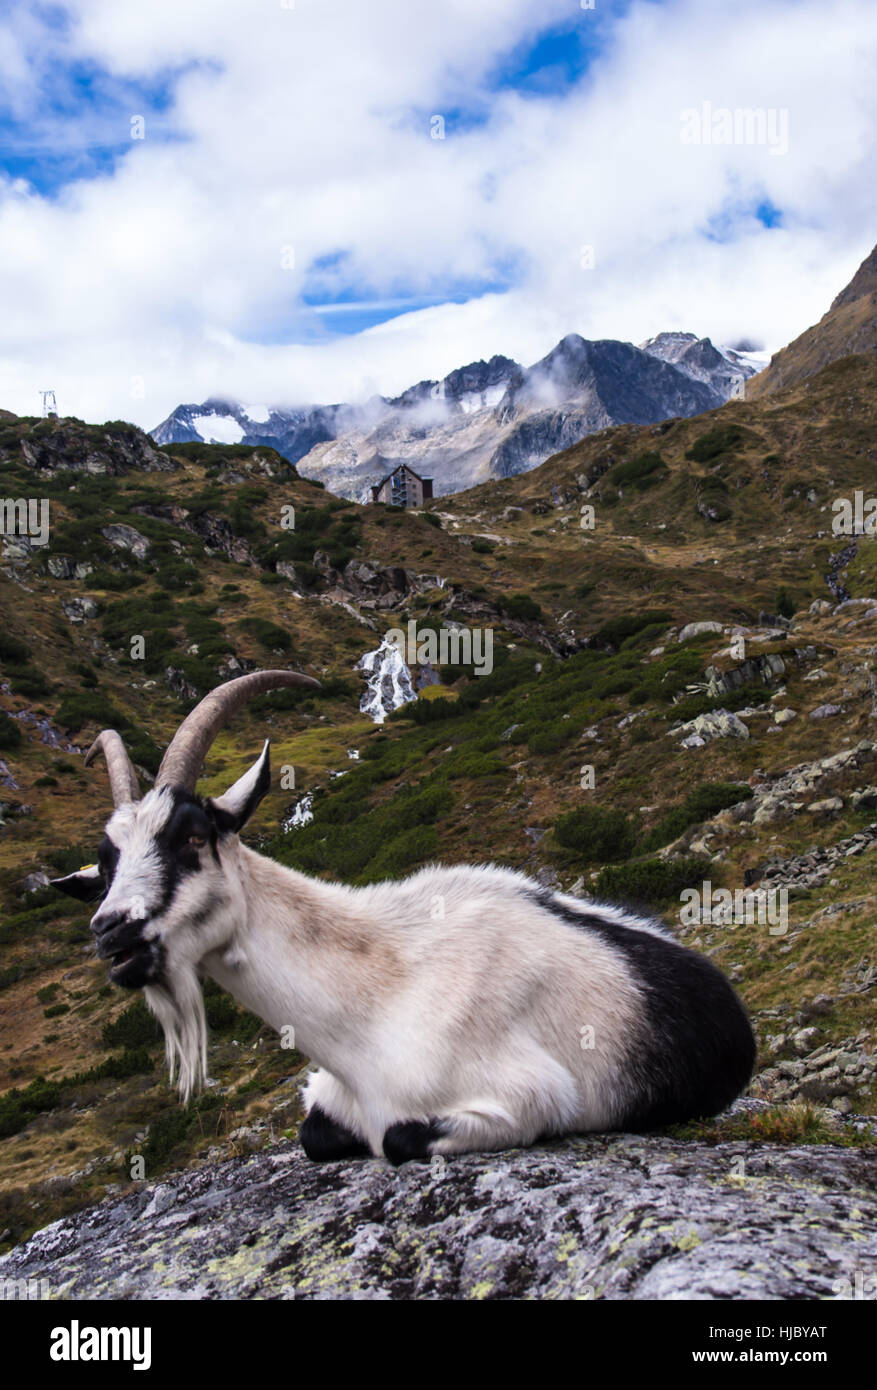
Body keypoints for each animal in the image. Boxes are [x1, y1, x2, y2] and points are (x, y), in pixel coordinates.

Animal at [53, 671, 756, 1164]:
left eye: (193, 837)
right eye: (104, 865)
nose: (111, 932)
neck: (377, 996)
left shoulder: (530, 1098)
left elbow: (396, 1139)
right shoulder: (326, 1093)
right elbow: (313, 1134)